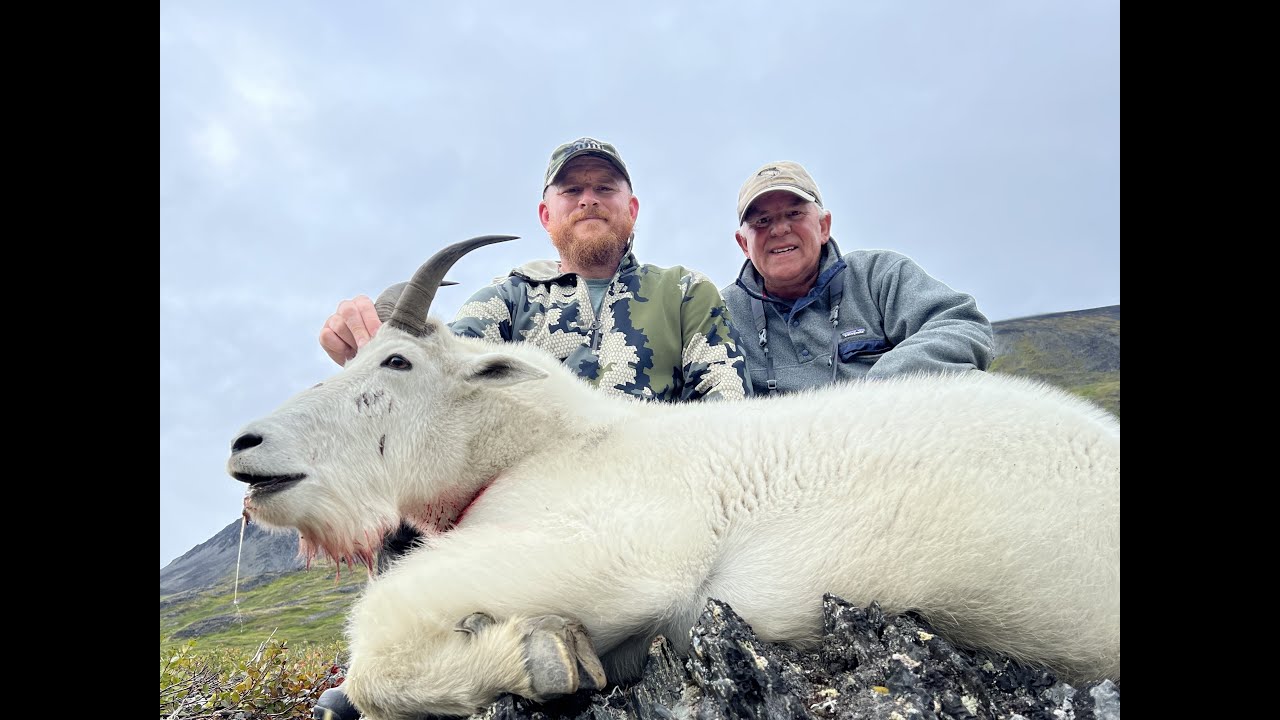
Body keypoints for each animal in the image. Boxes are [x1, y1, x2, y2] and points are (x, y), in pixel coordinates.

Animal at [227, 235, 1120, 719]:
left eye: (397, 361)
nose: (247, 445)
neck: (556, 444)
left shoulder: (618, 553)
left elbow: (376, 654)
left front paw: (540, 654)